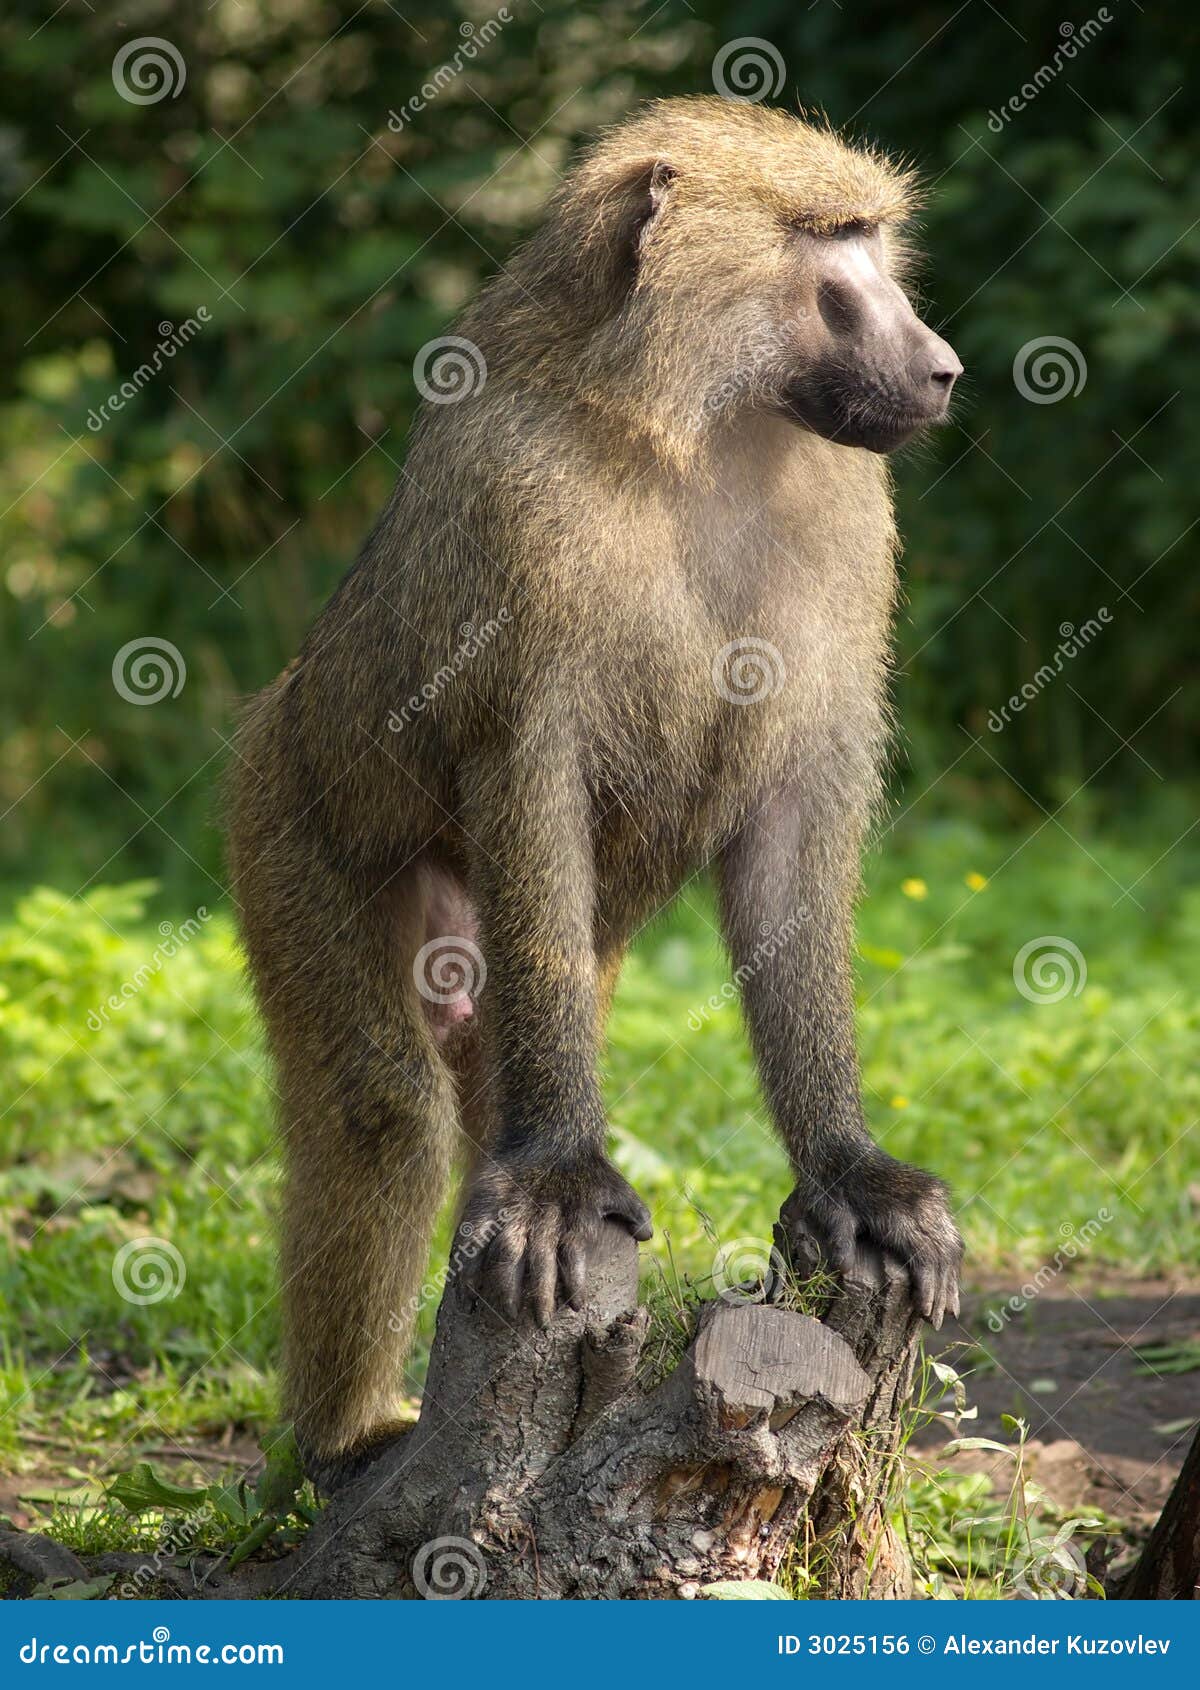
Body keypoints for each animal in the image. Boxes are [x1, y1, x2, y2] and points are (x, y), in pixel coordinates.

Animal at [226, 95, 965, 1490]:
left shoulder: (853, 513)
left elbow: (792, 821)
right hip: (285, 821)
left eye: (872, 240)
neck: (700, 424)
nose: (942, 367)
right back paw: (344, 1439)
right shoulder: (515, 505)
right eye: (828, 253)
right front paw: (561, 1176)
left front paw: (849, 1174)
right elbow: (530, 764)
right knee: (385, 1112)